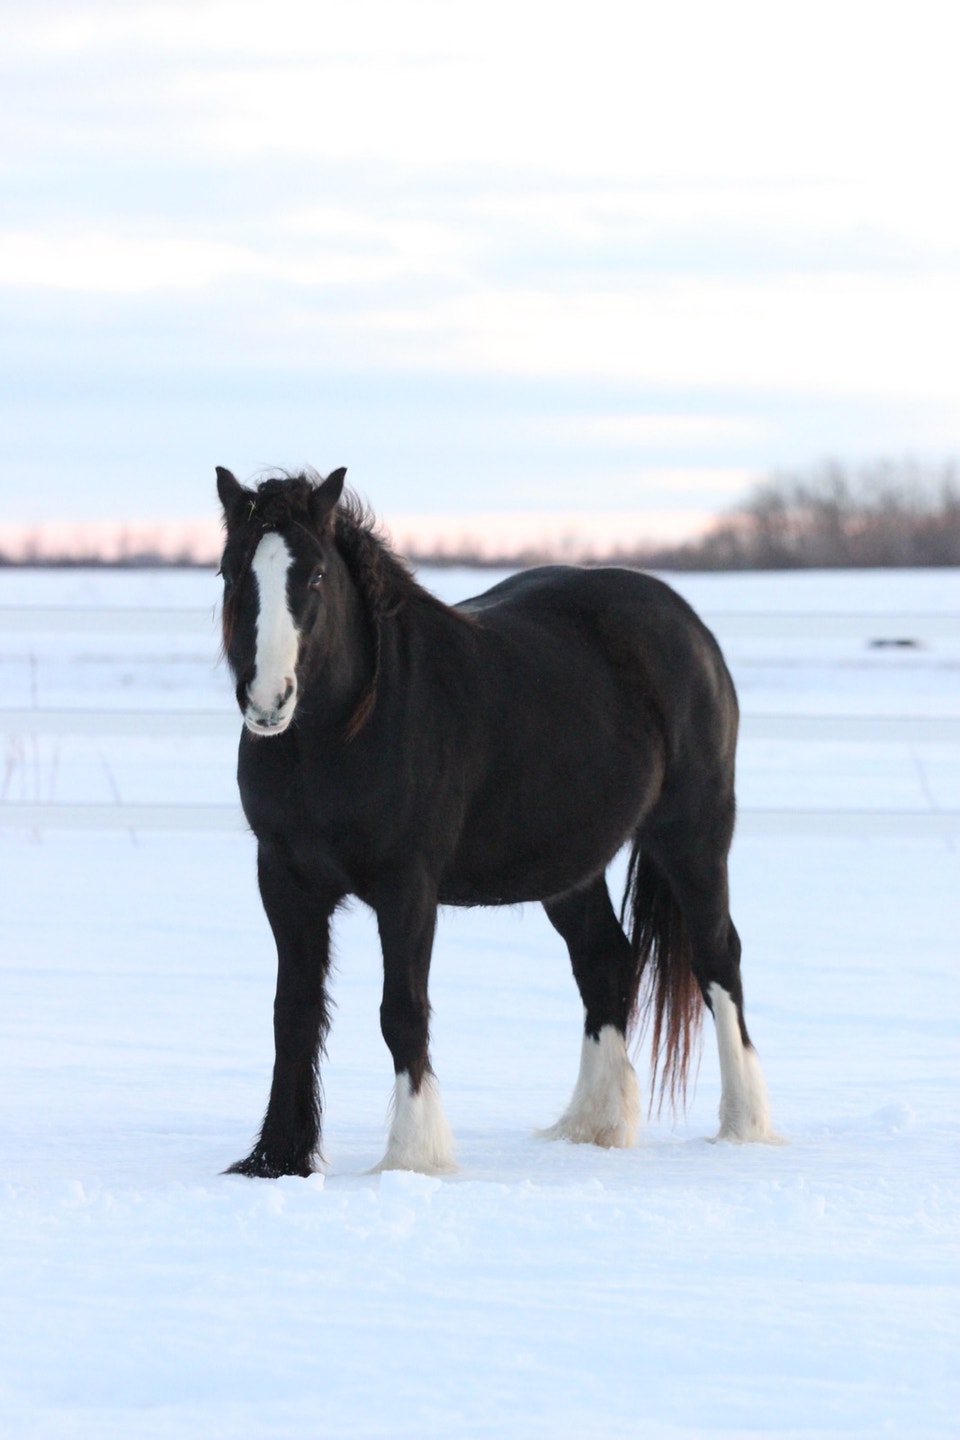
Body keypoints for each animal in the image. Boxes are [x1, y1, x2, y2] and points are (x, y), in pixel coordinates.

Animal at [216, 465, 776, 1177]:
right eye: (230, 570)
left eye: (314, 574)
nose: (268, 700)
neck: (345, 730)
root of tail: (689, 625)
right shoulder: (285, 880)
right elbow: (293, 1013)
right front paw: (277, 1158)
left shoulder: (408, 887)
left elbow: (401, 1011)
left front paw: (413, 1156)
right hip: (571, 868)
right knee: (606, 961)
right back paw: (592, 1125)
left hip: (693, 837)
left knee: (718, 960)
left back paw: (743, 1125)